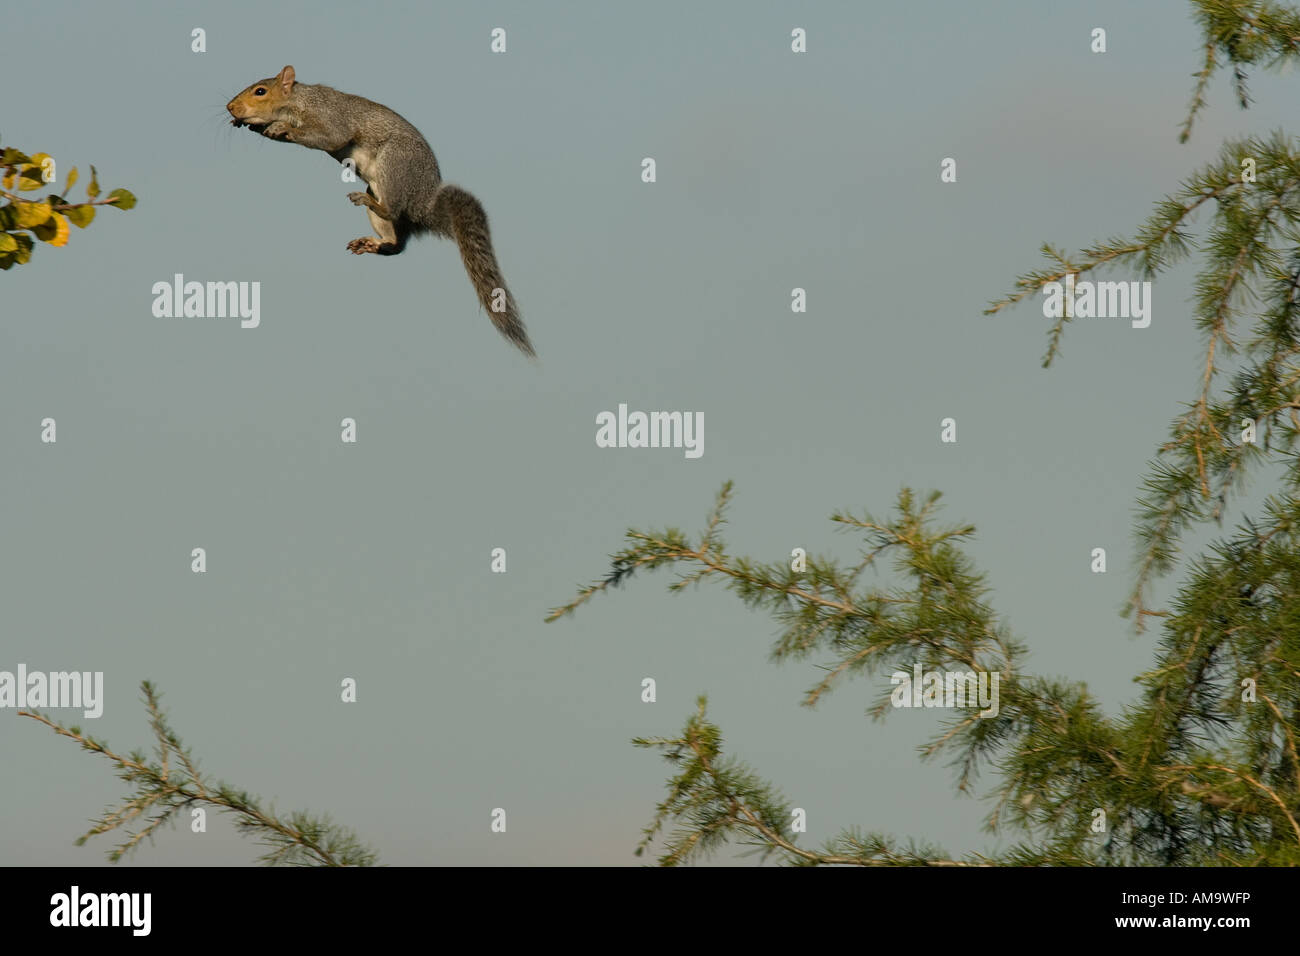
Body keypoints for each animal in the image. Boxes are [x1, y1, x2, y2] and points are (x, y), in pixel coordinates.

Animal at [226, 65, 534, 357]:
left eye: (260, 91)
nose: (230, 108)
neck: (300, 100)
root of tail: (423, 207)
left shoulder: (331, 117)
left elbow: (330, 136)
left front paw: (280, 127)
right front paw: (254, 126)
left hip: (394, 163)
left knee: (391, 210)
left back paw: (371, 204)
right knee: (396, 243)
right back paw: (375, 243)